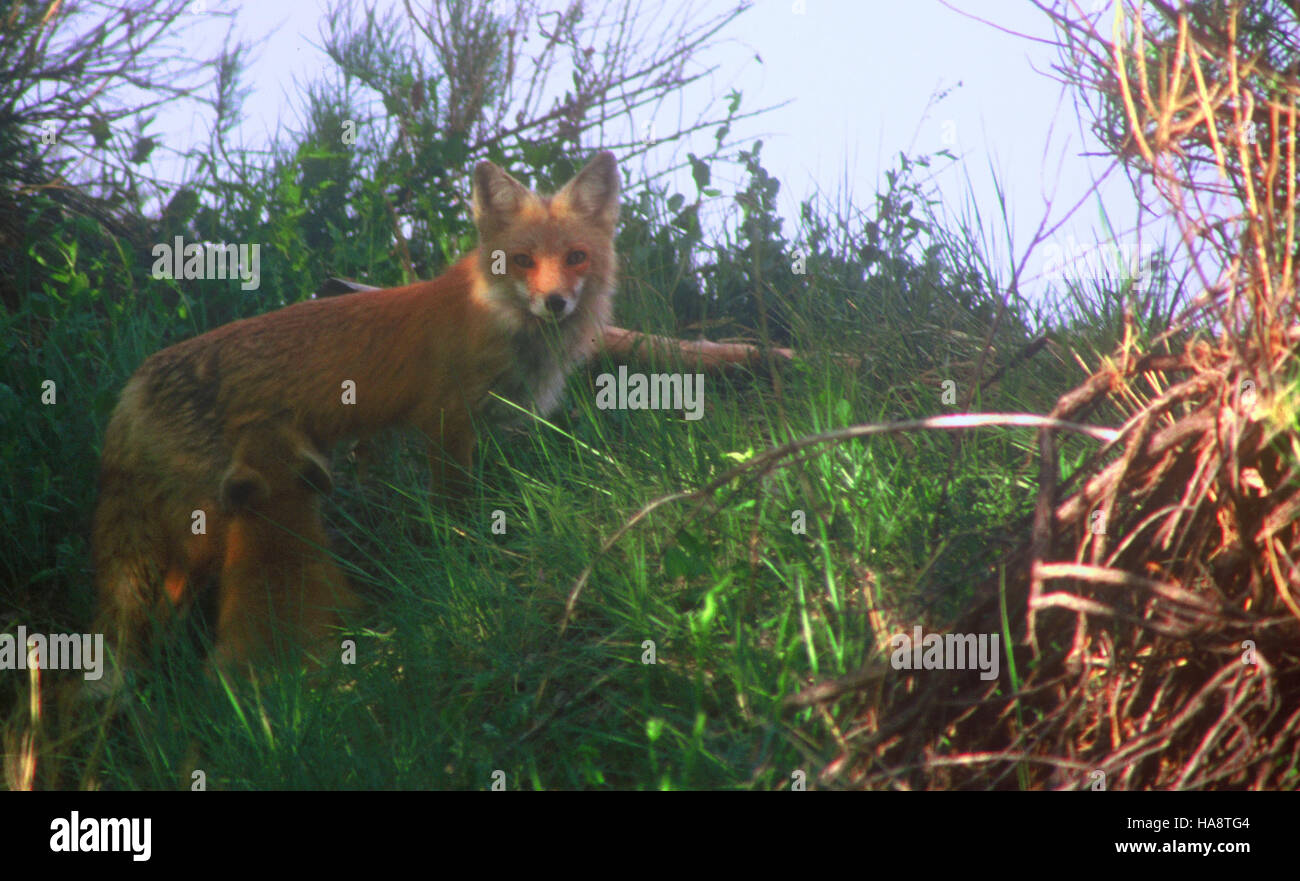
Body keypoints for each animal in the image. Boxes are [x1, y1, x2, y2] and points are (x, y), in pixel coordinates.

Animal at [91, 151, 620, 685]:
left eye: (575, 257)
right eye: (524, 261)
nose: (555, 302)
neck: (495, 315)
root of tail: (131, 388)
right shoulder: (446, 423)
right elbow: (456, 508)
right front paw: (465, 552)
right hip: (211, 527)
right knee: (161, 609)